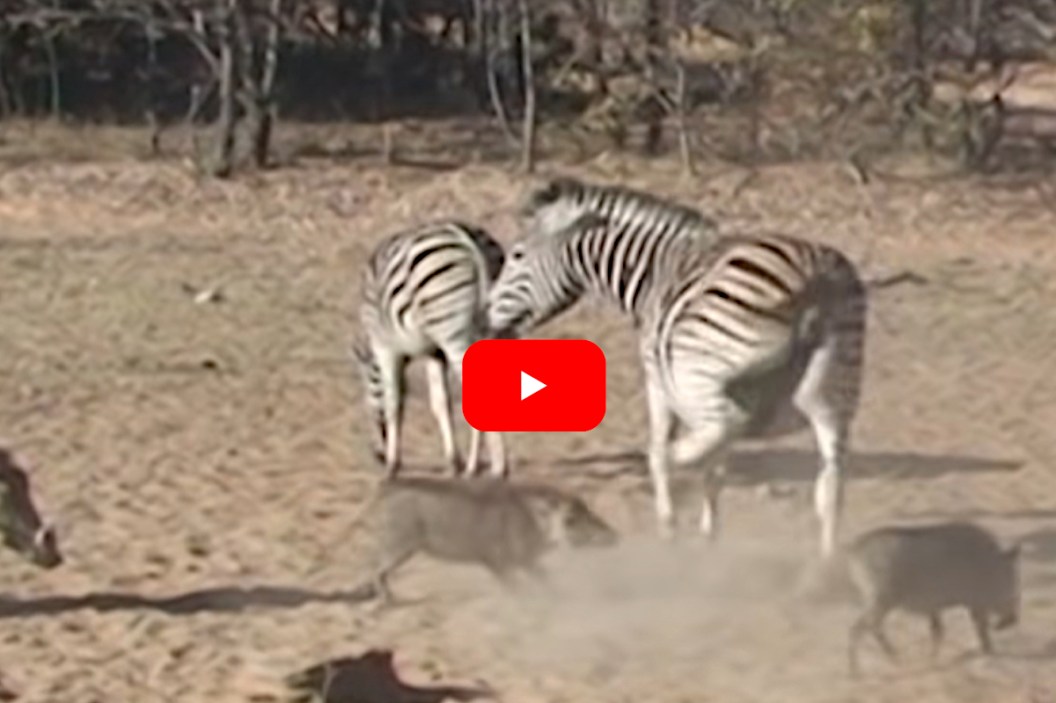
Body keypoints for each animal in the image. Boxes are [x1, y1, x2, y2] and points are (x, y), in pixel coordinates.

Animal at [355, 221, 508, 478]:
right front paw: (453, 462)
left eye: (368, 389)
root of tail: (465, 237)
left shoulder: (385, 346)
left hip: (453, 333)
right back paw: (492, 465)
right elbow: (440, 403)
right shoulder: (434, 353)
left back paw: (489, 467)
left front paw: (393, 465)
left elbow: (394, 401)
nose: (377, 455)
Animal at [485, 178, 867, 558]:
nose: (486, 313)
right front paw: (710, 533)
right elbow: (715, 471)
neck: (653, 272)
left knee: (714, 432)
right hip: (832, 393)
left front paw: (671, 524)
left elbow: (672, 445)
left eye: (517, 255)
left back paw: (670, 464)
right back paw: (826, 562)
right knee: (831, 484)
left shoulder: (658, 379)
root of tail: (813, 275)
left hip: (699, 374)